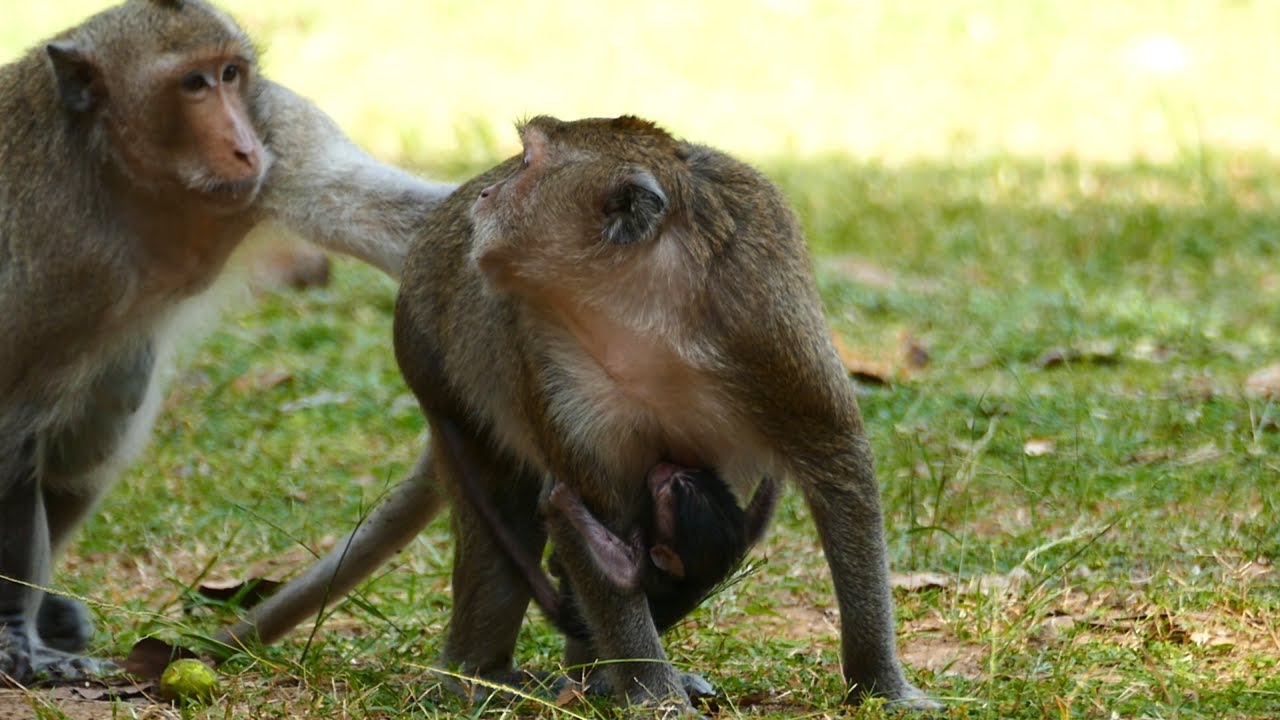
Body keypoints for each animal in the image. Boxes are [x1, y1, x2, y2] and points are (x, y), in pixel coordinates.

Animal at [0, 0, 454, 685]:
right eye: (194, 84)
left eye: (231, 74)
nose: (243, 147)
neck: (128, 176)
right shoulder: (42, 254)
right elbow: (7, 425)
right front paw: (13, 637)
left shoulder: (280, 131)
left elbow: (414, 223)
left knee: (91, 435)